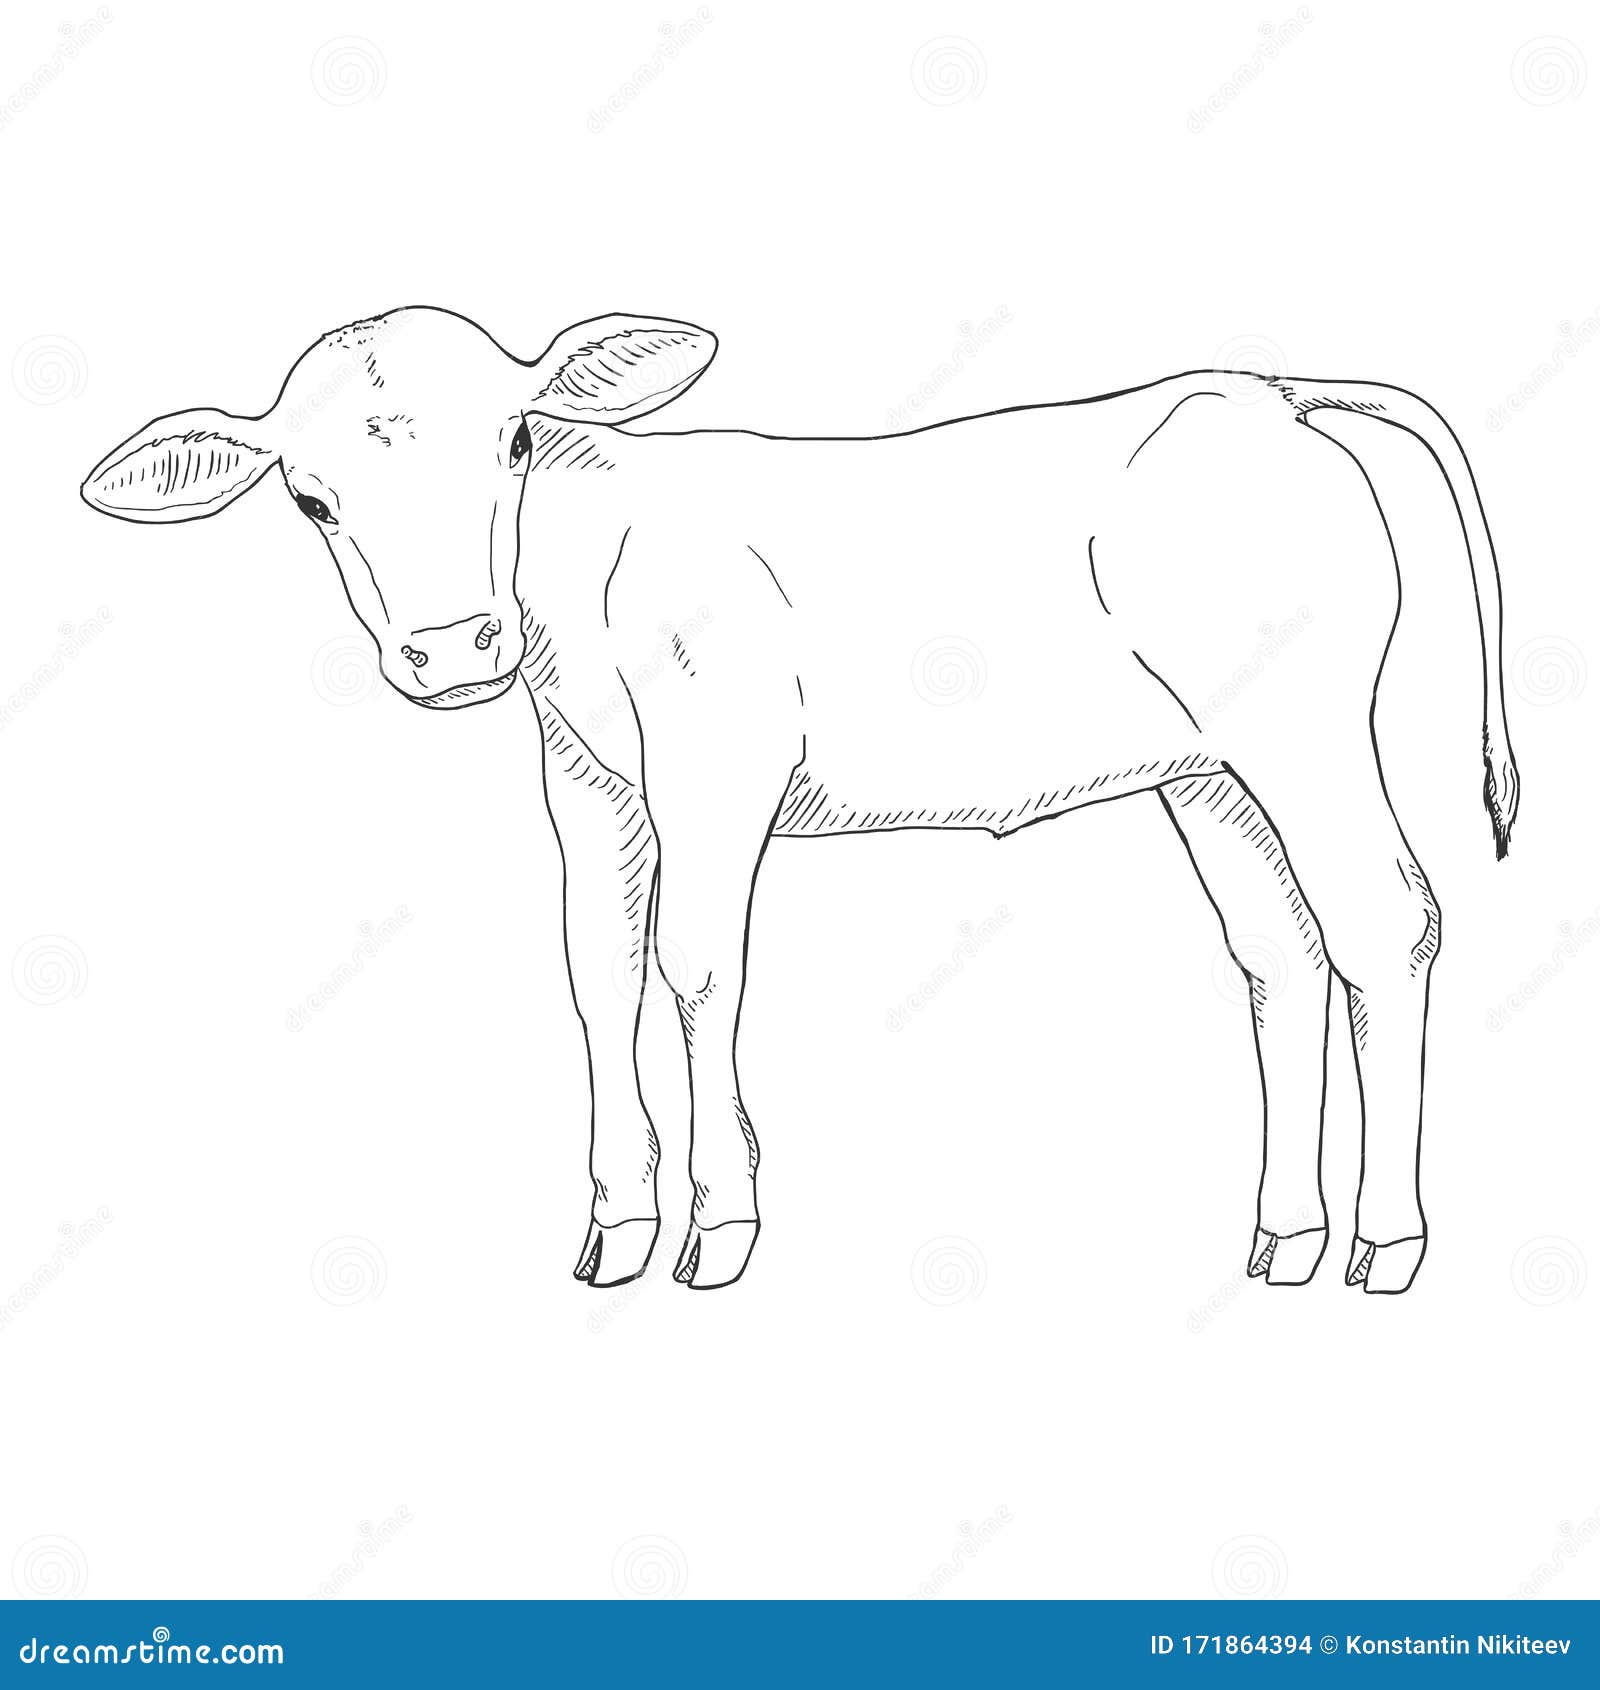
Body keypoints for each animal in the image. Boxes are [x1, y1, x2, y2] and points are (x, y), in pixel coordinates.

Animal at [81, 307, 1519, 1296]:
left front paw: (717, 1224)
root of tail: (1264, 392)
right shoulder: (590, 779)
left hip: (1307, 734)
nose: (452, 648)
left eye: (513, 438)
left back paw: (1384, 1240)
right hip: (1209, 769)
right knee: (1283, 952)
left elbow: (695, 967)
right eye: (311, 498)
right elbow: (598, 968)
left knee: (1385, 924)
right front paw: (615, 1227)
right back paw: (1284, 1233)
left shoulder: (718, 765)